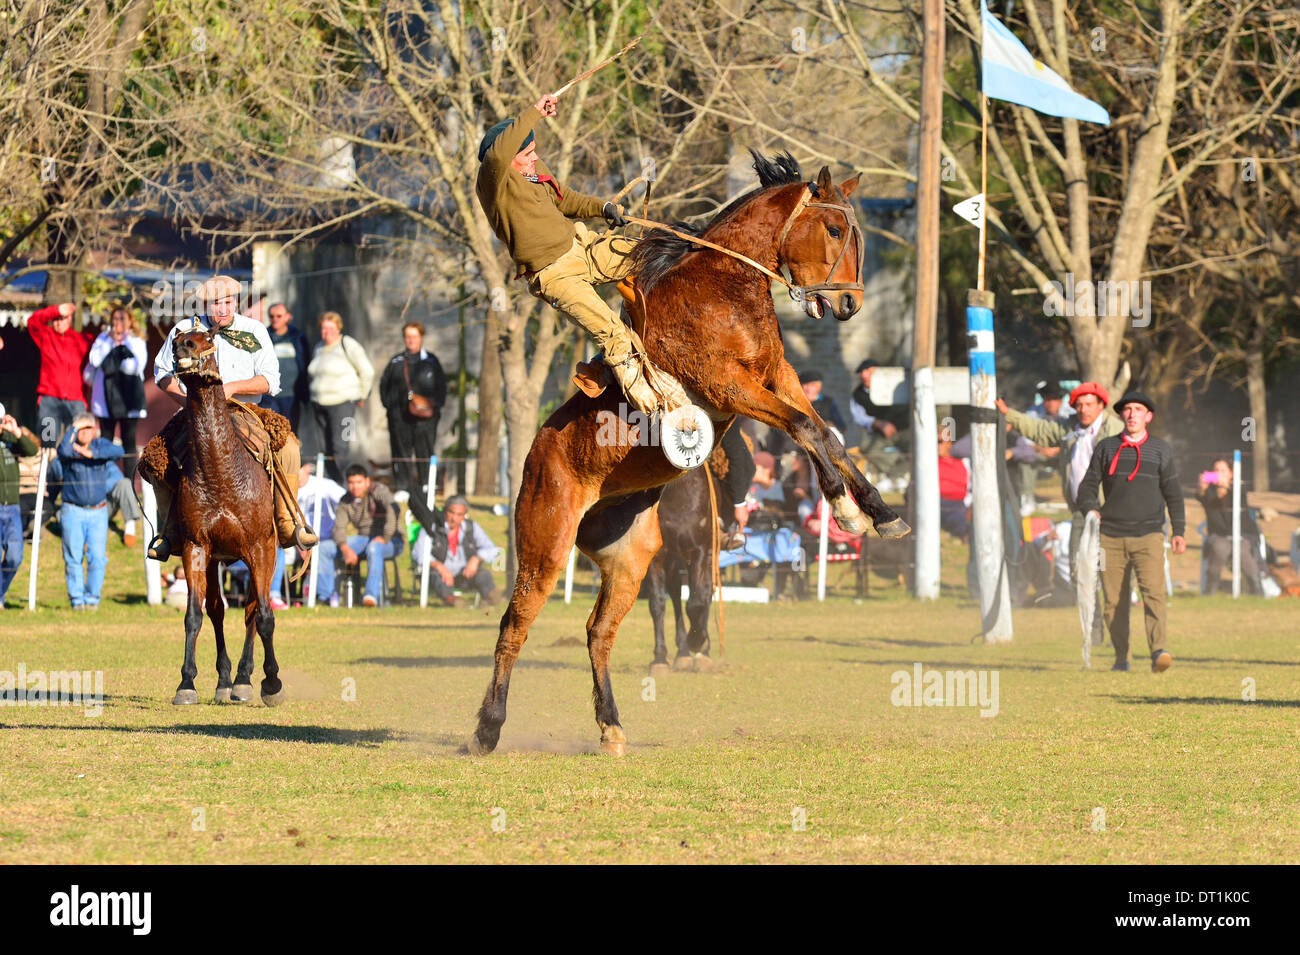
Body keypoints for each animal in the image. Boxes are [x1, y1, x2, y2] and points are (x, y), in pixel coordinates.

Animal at [165, 327, 284, 707]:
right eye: (178, 336)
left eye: (206, 337)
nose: (182, 346)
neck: (221, 474)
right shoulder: (196, 548)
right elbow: (194, 615)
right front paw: (186, 683)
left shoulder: (260, 548)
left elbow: (263, 616)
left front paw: (271, 683)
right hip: (218, 559)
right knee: (217, 609)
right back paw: (225, 681)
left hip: (267, 555)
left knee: (251, 611)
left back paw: (245, 680)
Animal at [471, 154, 909, 756]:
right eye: (834, 229)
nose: (849, 303)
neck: (724, 287)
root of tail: (536, 453)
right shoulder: (730, 389)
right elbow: (805, 430)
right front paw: (845, 509)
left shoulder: (779, 377)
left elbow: (826, 435)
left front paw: (880, 512)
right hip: (545, 546)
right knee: (514, 625)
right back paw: (487, 730)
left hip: (632, 558)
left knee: (598, 631)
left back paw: (611, 728)